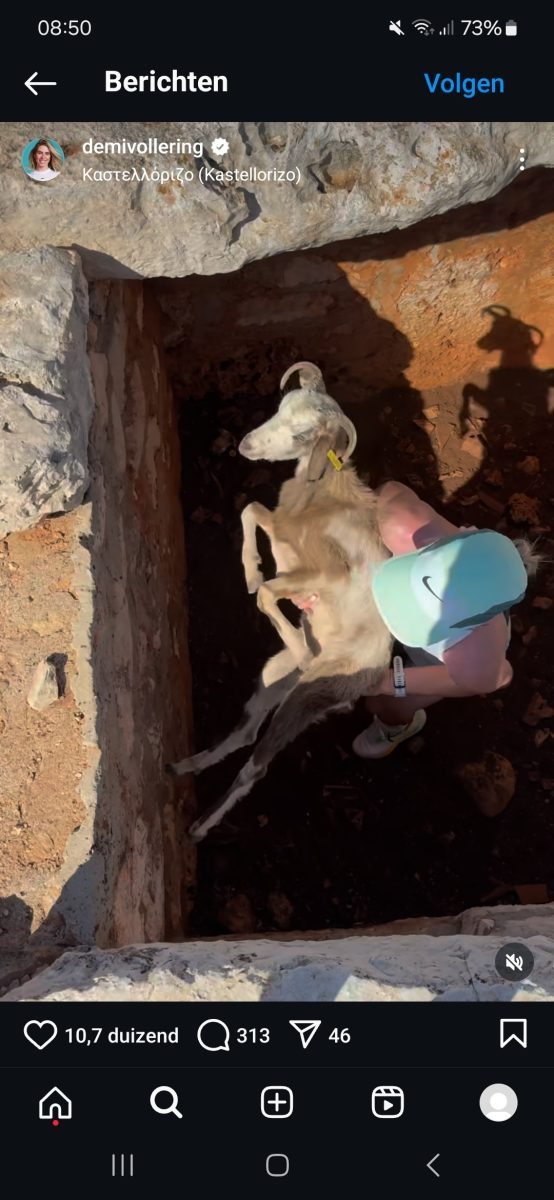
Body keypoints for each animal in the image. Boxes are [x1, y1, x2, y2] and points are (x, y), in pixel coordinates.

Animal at [166, 362, 393, 842]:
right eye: (280, 407)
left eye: (303, 433)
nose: (246, 445)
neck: (321, 499)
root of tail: (372, 674)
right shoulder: (283, 543)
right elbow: (251, 511)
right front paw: (252, 573)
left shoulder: (321, 575)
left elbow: (270, 592)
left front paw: (296, 636)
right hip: (276, 677)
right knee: (248, 730)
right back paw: (185, 765)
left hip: (308, 697)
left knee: (256, 767)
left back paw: (199, 826)